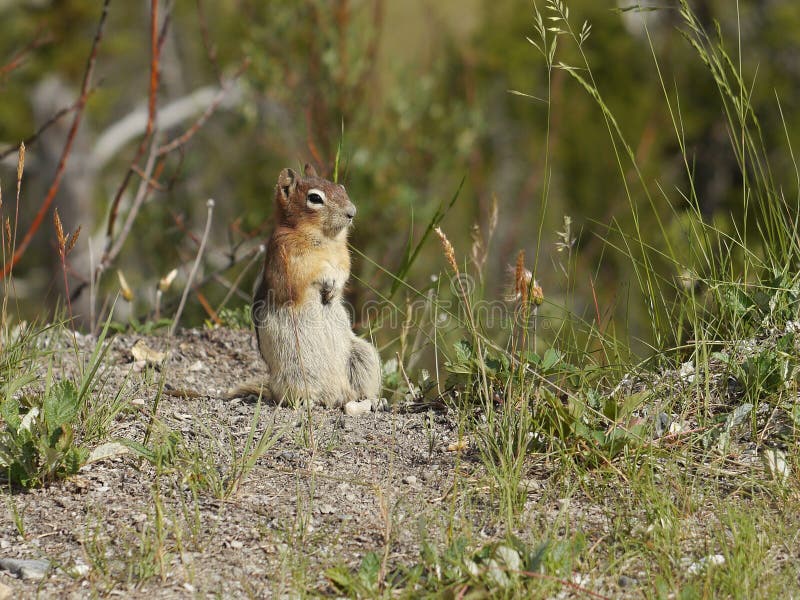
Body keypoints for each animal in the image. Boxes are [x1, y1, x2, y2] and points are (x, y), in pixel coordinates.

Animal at [239, 164, 382, 408]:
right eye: (315, 198)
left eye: (341, 188)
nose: (352, 212)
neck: (327, 241)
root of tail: (336, 394)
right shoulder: (289, 259)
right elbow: (305, 276)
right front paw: (326, 279)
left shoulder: (344, 257)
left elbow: (343, 272)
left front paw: (335, 286)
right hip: (295, 369)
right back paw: (309, 402)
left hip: (364, 355)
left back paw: (370, 400)